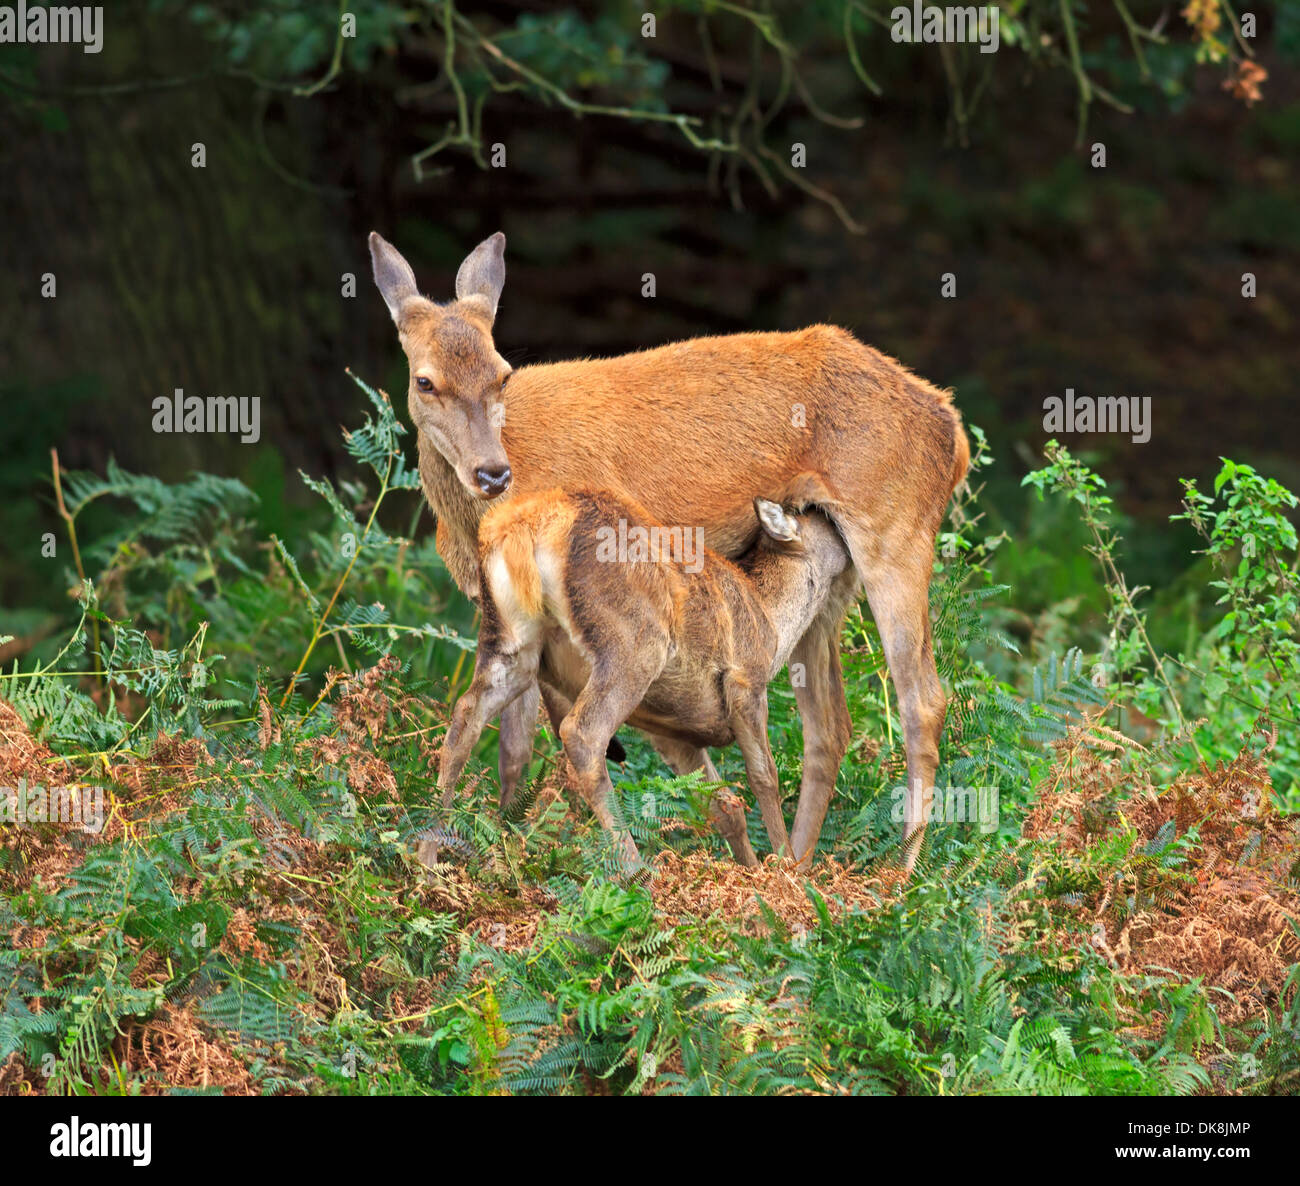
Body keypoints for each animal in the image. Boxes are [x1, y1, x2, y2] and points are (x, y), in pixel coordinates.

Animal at [431, 489, 852, 869]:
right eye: (824, 520)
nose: (848, 537)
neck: (773, 624)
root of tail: (530, 527)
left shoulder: (673, 730)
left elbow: (722, 804)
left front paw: (751, 868)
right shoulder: (745, 681)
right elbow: (765, 776)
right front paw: (786, 867)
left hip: (510, 643)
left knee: (465, 716)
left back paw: (428, 855)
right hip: (632, 643)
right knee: (582, 733)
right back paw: (635, 872)